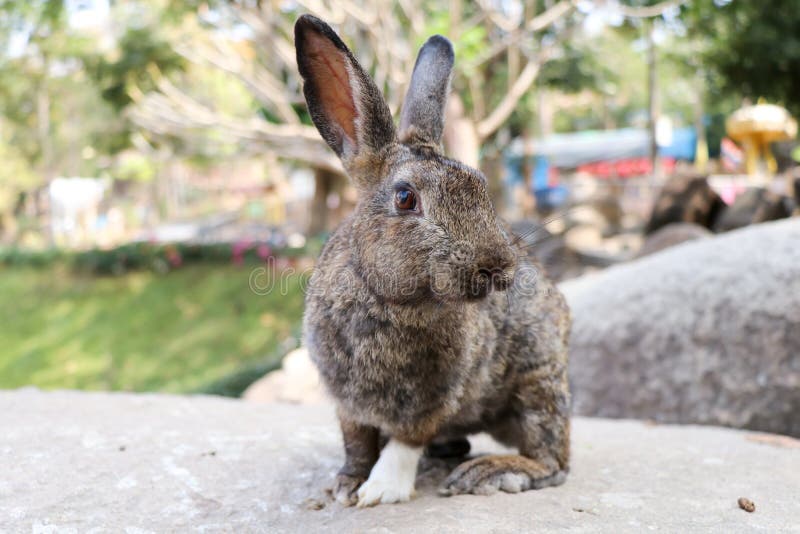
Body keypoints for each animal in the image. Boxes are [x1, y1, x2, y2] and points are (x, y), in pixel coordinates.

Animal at [295, 14, 571, 507]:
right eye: (406, 198)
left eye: (481, 185)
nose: (498, 268)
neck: (390, 300)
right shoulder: (347, 403)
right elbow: (356, 441)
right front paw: (346, 485)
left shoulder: (433, 398)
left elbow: (407, 440)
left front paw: (381, 490)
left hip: (537, 382)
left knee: (553, 459)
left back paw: (489, 471)